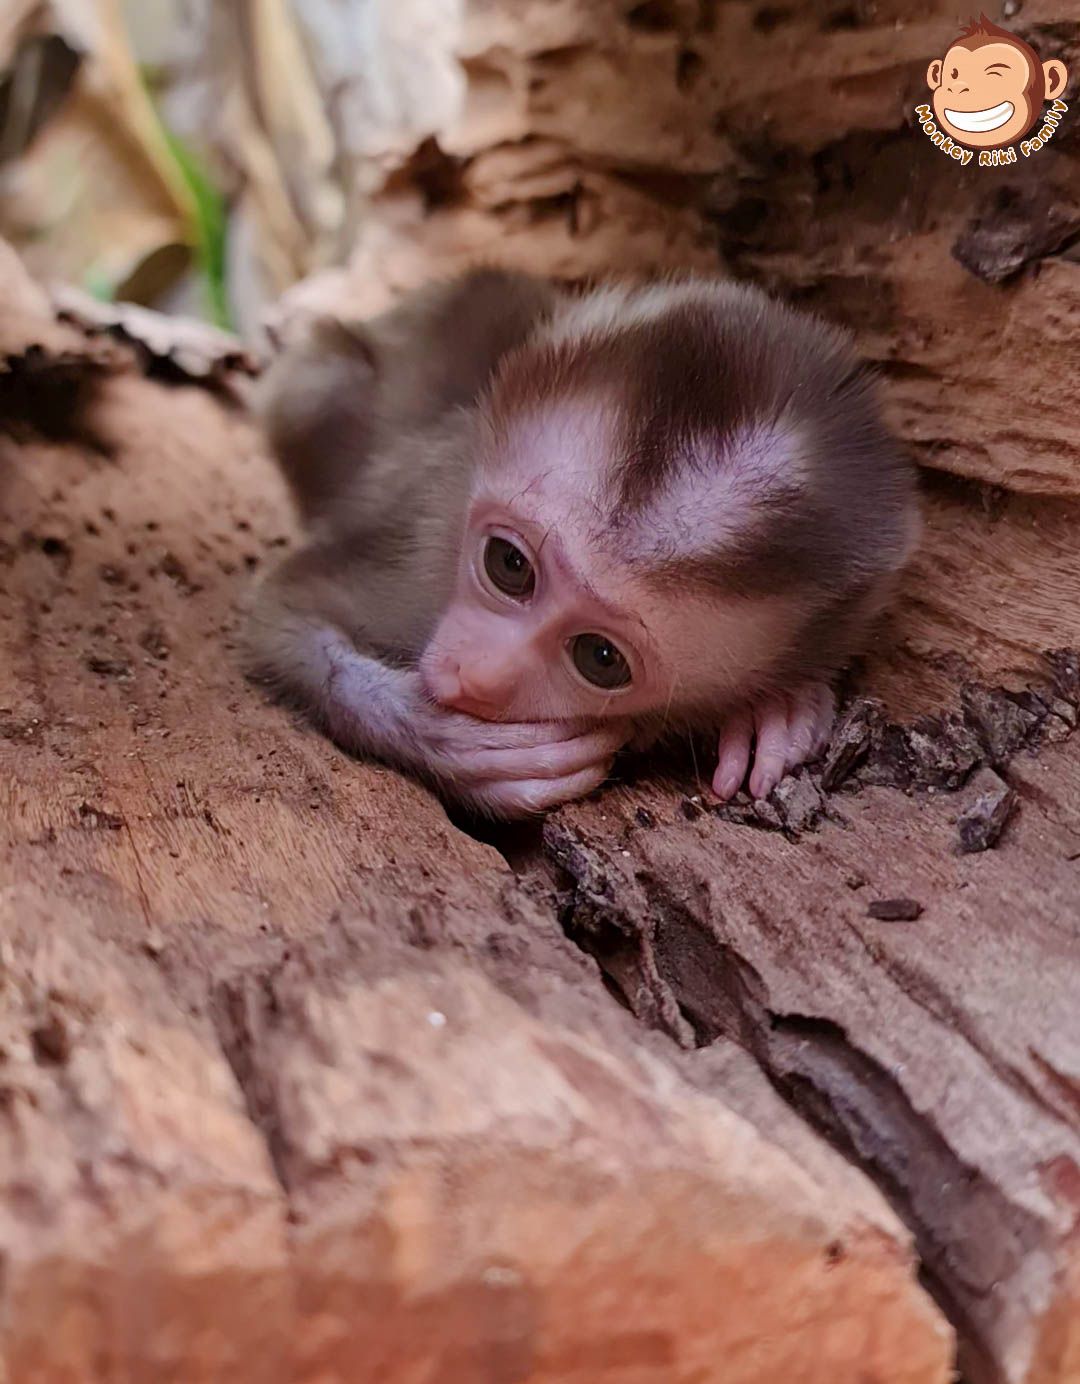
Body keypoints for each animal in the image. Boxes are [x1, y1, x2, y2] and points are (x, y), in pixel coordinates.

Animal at [246, 268, 919, 819]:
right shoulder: (422, 532)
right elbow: (280, 610)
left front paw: (778, 711)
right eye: (510, 564)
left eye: (601, 658)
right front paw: (447, 741)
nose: (475, 678)